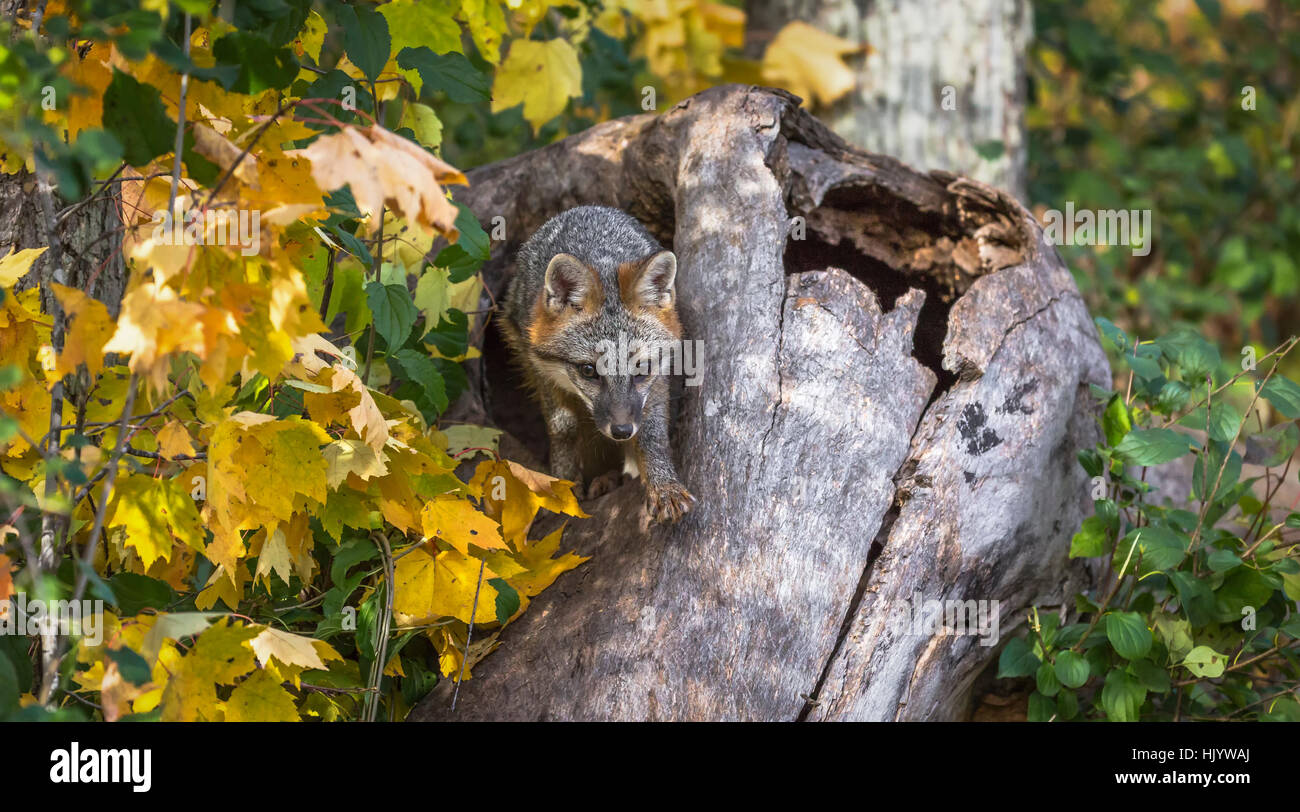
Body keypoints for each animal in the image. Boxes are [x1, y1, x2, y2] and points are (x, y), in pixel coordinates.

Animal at [500, 206, 696, 524]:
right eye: (588, 371)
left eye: (641, 369)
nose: (622, 431)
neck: (601, 256)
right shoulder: (540, 368)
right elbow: (563, 428)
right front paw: (563, 482)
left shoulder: (658, 382)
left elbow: (652, 431)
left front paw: (663, 485)